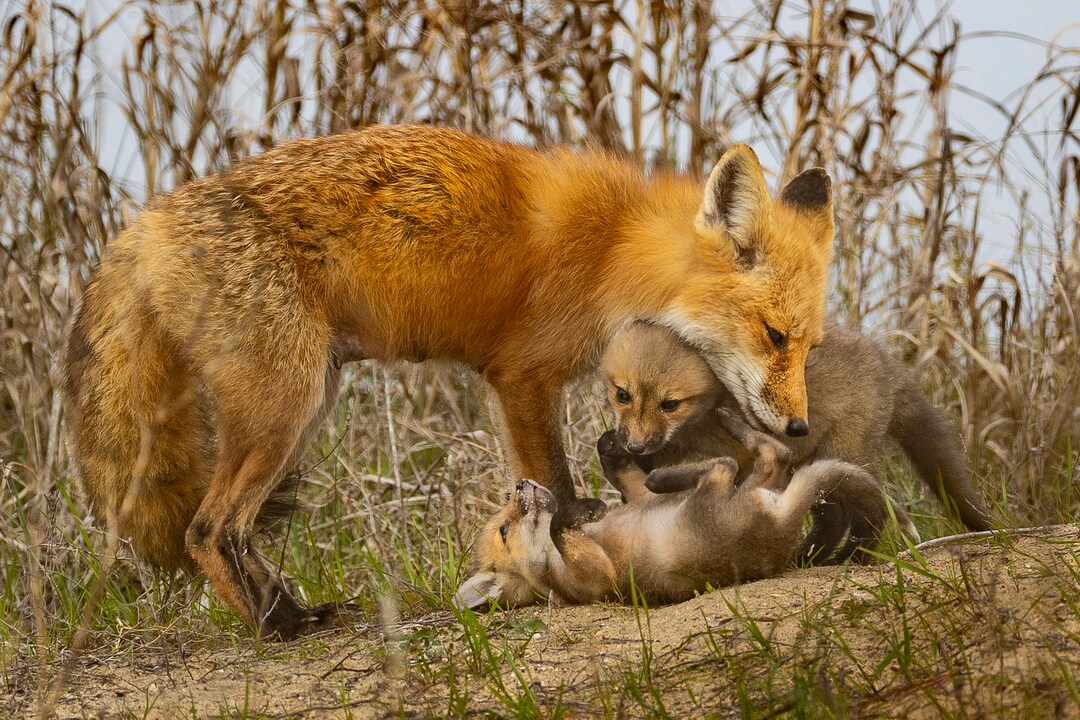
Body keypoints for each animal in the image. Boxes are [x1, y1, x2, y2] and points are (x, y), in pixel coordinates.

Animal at [61, 124, 835, 639]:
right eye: (774, 335)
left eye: (807, 344)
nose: (799, 425)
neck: (612, 250)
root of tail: (144, 223)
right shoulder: (521, 375)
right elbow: (550, 474)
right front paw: (565, 527)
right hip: (283, 406)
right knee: (206, 528)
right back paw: (274, 629)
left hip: (308, 402)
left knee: (234, 529)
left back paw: (291, 610)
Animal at [455, 408, 904, 609]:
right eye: (504, 531)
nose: (521, 484)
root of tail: (781, 524)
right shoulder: (593, 582)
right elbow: (559, 530)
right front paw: (580, 509)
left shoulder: (637, 500)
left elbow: (624, 476)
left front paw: (611, 447)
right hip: (707, 507)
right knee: (732, 465)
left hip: (749, 485)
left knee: (771, 456)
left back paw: (725, 422)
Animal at [599, 321, 992, 532]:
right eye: (622, 395)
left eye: (670, 404)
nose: (633, 446)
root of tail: (886, 361)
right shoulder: (672, 444)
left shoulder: (742, 452)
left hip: (846, 451)